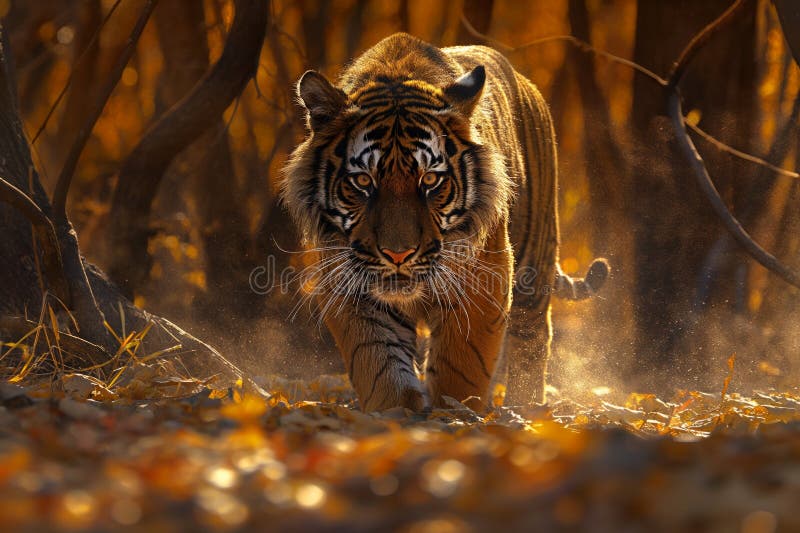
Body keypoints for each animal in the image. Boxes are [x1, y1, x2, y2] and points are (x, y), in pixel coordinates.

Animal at [282, 33, 608, 412]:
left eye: (430, 180)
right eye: (363, 181)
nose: (398, 255)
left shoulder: (484, 275)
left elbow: (462, 365)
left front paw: (454, 413)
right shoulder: (349, 280)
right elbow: (379, 363)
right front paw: (397, 412)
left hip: (534, 262)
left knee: (533, 338)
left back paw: (526, 406)